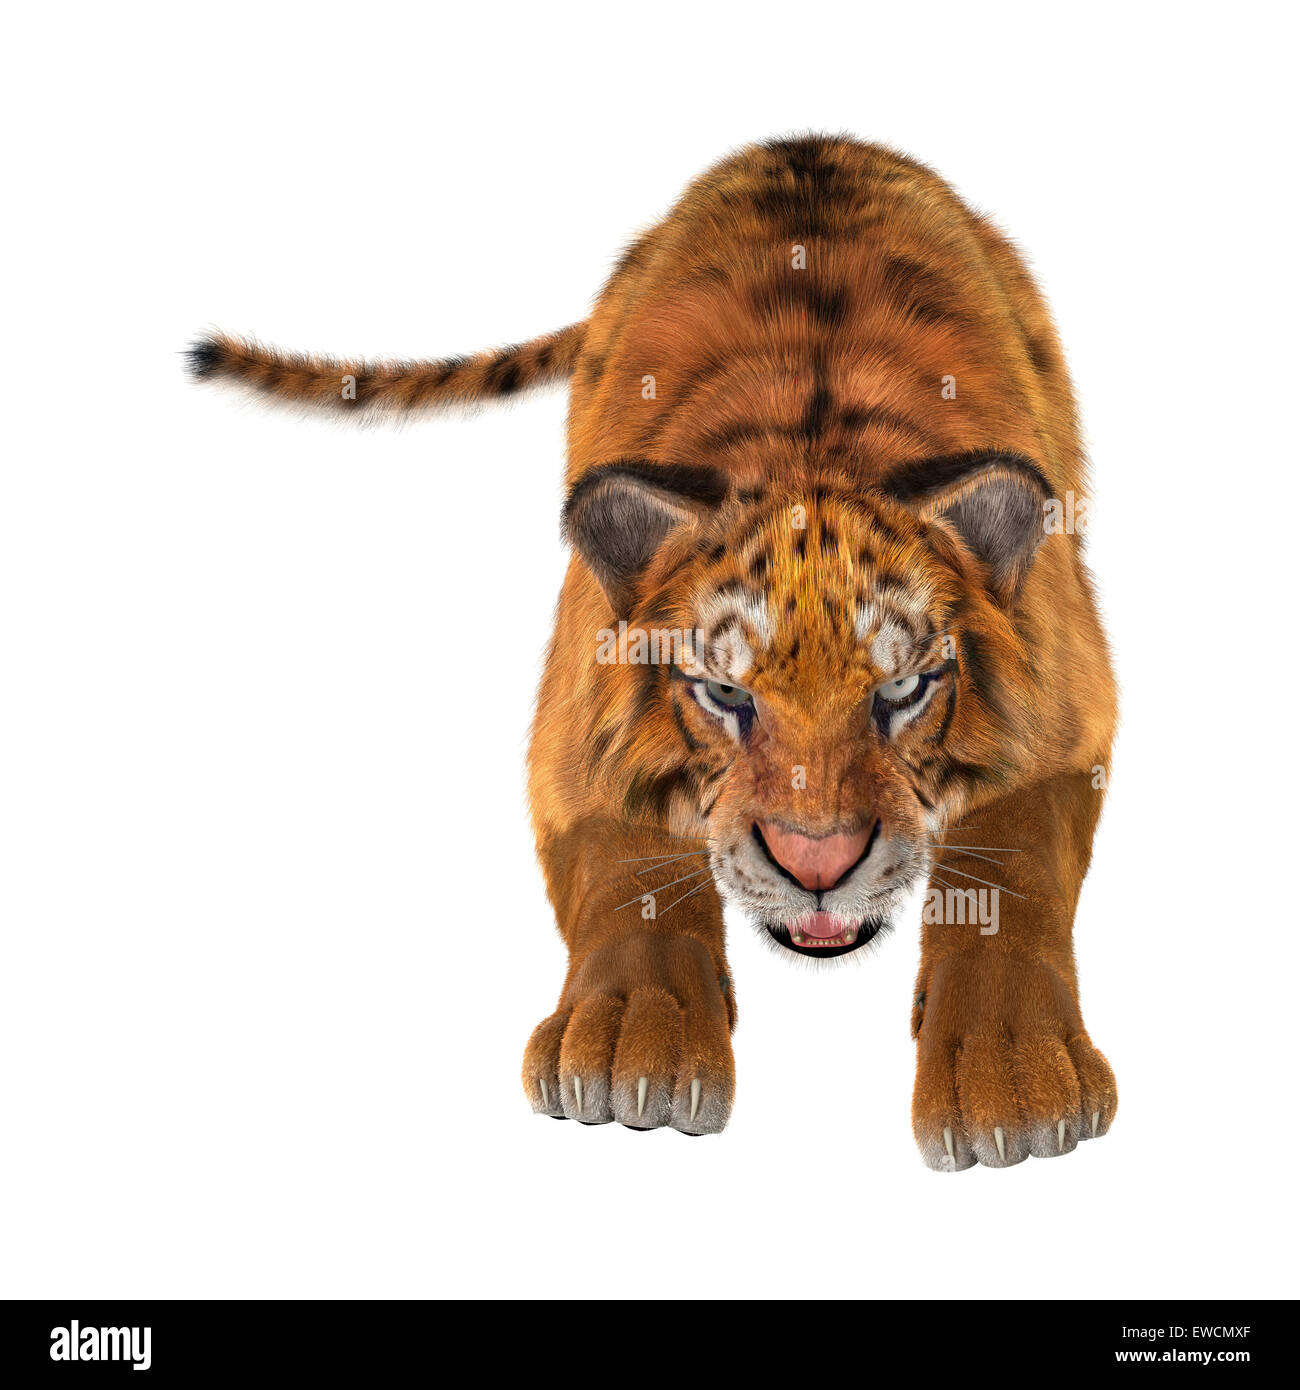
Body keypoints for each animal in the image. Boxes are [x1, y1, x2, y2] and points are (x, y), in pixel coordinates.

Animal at [189, 133, 1118, 1169]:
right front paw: (630, 1044)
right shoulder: (571, 739)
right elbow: (627, 861)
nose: (818, 864)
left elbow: (1010, 871)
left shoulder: (1070, 719)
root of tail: (815, 140)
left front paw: (1013, 1078)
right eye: (724, 697)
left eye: (905, 690)